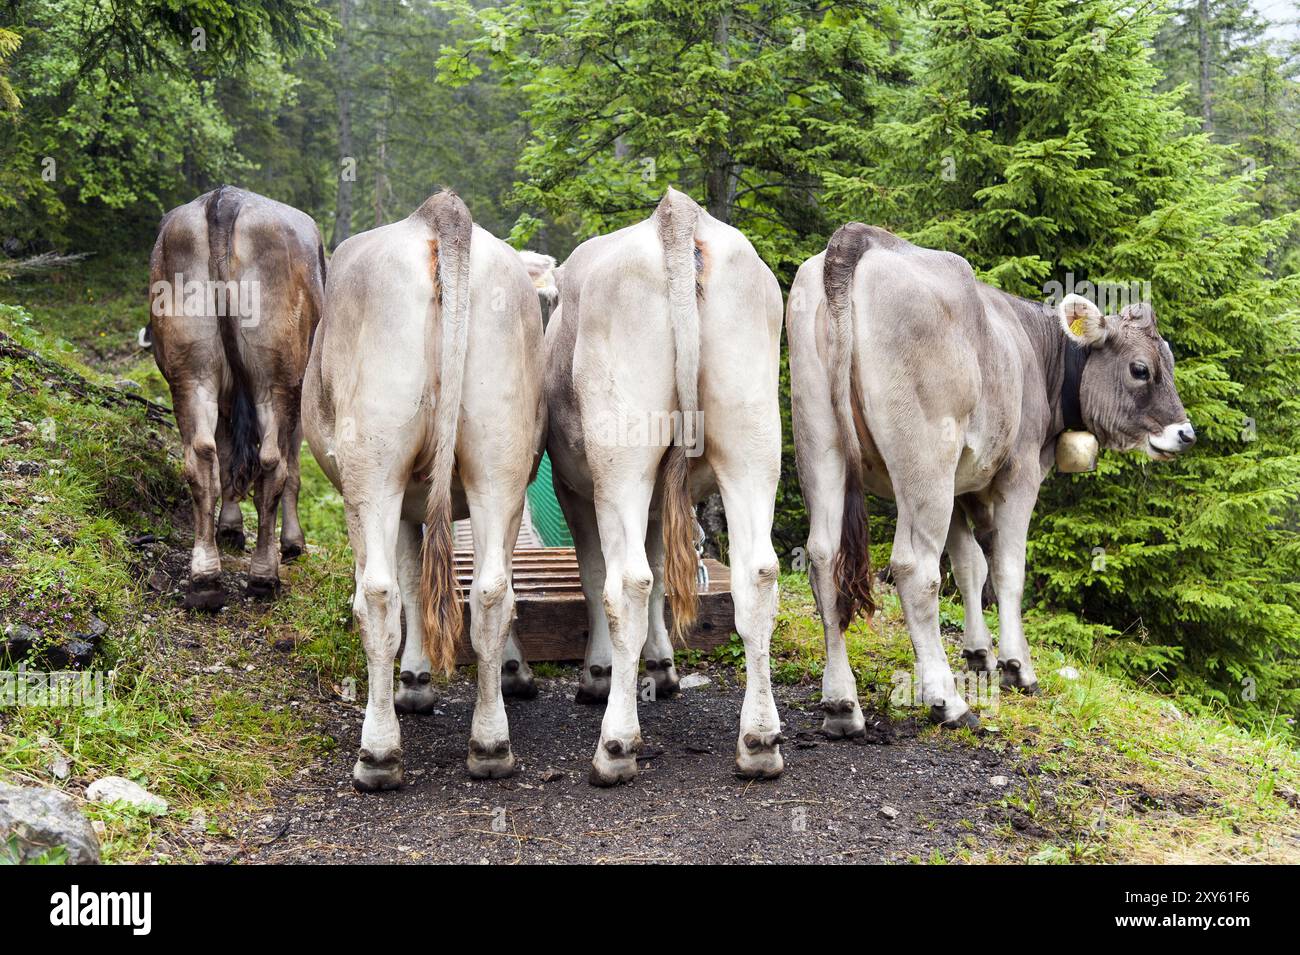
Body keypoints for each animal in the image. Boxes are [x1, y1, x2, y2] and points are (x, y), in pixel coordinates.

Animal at [148, 186, 325, 610]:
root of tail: (224, 200)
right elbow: (294, 470)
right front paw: (293, 542)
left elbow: (227, 455)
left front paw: (229, 527)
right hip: (277, 377)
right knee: (274, 464)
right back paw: (264, 576)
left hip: (191, 369)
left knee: (202, 457)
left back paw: (204, 579)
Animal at [302, 191, 545, 790]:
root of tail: (442, 216)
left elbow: (408, 581)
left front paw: (412, 682)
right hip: (499, 460)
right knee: (491, 591)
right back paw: (491, 745)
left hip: (375, 468)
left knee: (378, 594)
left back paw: (378, 754)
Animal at [546, 188, 785, 785]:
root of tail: (675, 217)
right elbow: (658, 571)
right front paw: (661, 667)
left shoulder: (572, 488)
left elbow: (597, 577)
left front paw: (599, 674)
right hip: (752, 440)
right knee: (757, 574)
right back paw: (759, 742)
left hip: (622, 460)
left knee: (625, 583)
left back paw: (615, 745)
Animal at [787, 223, 1195, 736]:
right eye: (1140, 369)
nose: (1187, 434)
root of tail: (860, 238)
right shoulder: (1018, 474)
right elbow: (1006, 569)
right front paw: (1016, 667)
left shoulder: (963, 485)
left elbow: (969, 567)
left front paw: (979, 653)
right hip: (926, 461)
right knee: (914, 569)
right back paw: (948, 701)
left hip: (820, 441)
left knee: (823, 556)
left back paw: (842, 704)